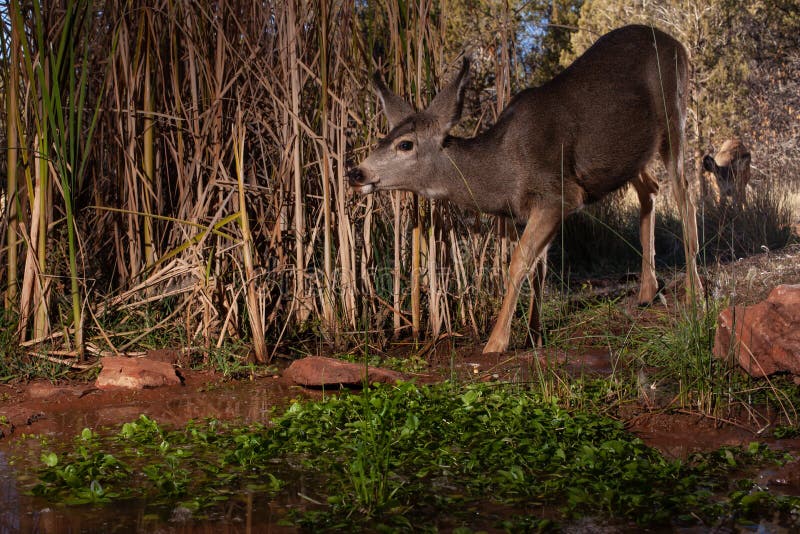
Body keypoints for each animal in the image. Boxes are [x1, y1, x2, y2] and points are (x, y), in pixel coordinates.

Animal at [348, 25, 703, 354]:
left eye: (405, 144)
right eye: (383, 138)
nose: (355, 172)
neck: (505, 172)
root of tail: (678, 44)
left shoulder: (558, 194)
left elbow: (519, 261)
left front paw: (496, 342)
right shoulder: (533, 209)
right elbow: (538, 268)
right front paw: (535, 334)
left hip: (674, 112)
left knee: (684, 193)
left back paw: (695, 294)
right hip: (632, 155)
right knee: (651, 189)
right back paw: (647, 291)